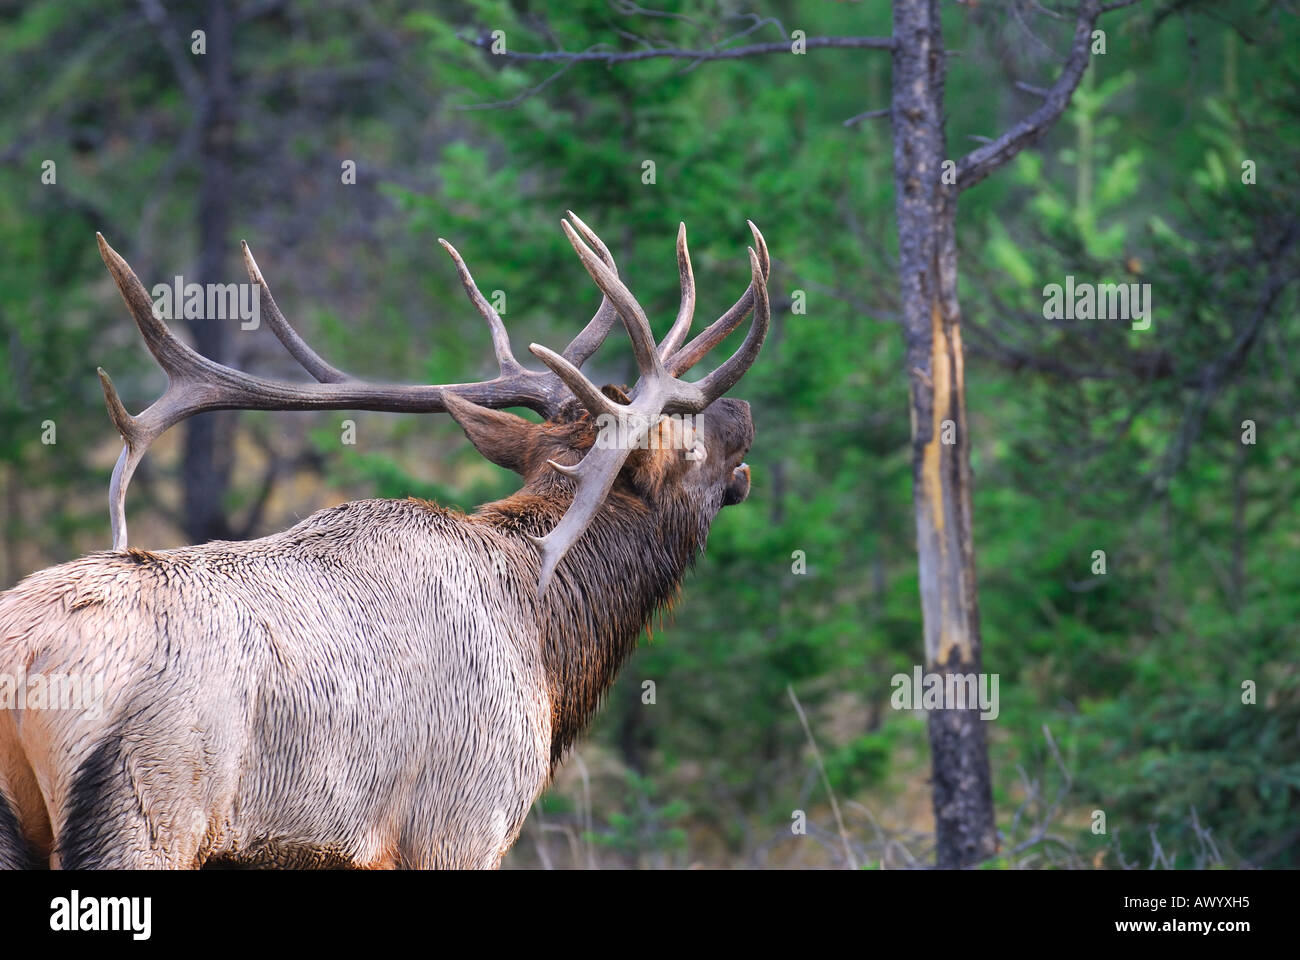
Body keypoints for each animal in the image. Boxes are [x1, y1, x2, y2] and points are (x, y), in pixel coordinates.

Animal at [0, 214, 768, 869]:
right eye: (682, 436)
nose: (742, 410)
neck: (549, 645)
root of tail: (24, 660)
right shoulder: (462, 822)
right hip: (148, 804)